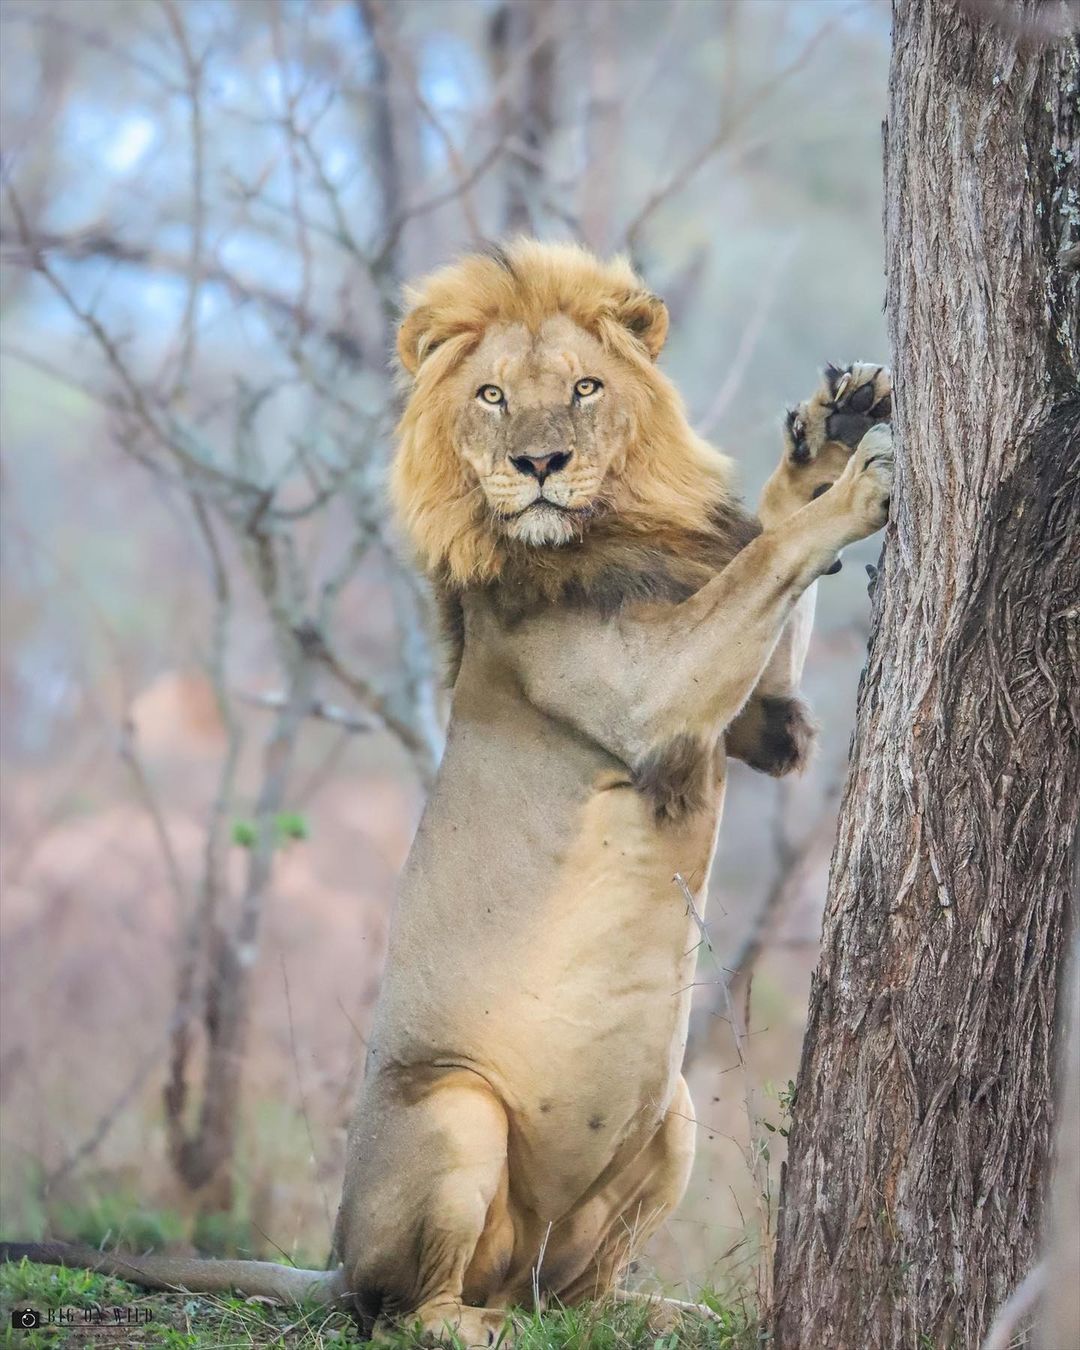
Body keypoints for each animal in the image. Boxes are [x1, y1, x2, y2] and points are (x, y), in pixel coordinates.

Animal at [1, 241, 893, 1346]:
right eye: (492, 396)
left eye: (586, 389)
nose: (540, 466)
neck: (608, 532)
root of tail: (334, 1261)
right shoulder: (650, 696)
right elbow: (763, 558)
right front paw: (852, 493)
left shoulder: (757, 726)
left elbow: (758, 561)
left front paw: (829, 433)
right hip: (455, 1115)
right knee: (401, 1308)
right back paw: (474, 1321)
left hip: (672, 1114)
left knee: (577, 1294)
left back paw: (657, 1309)